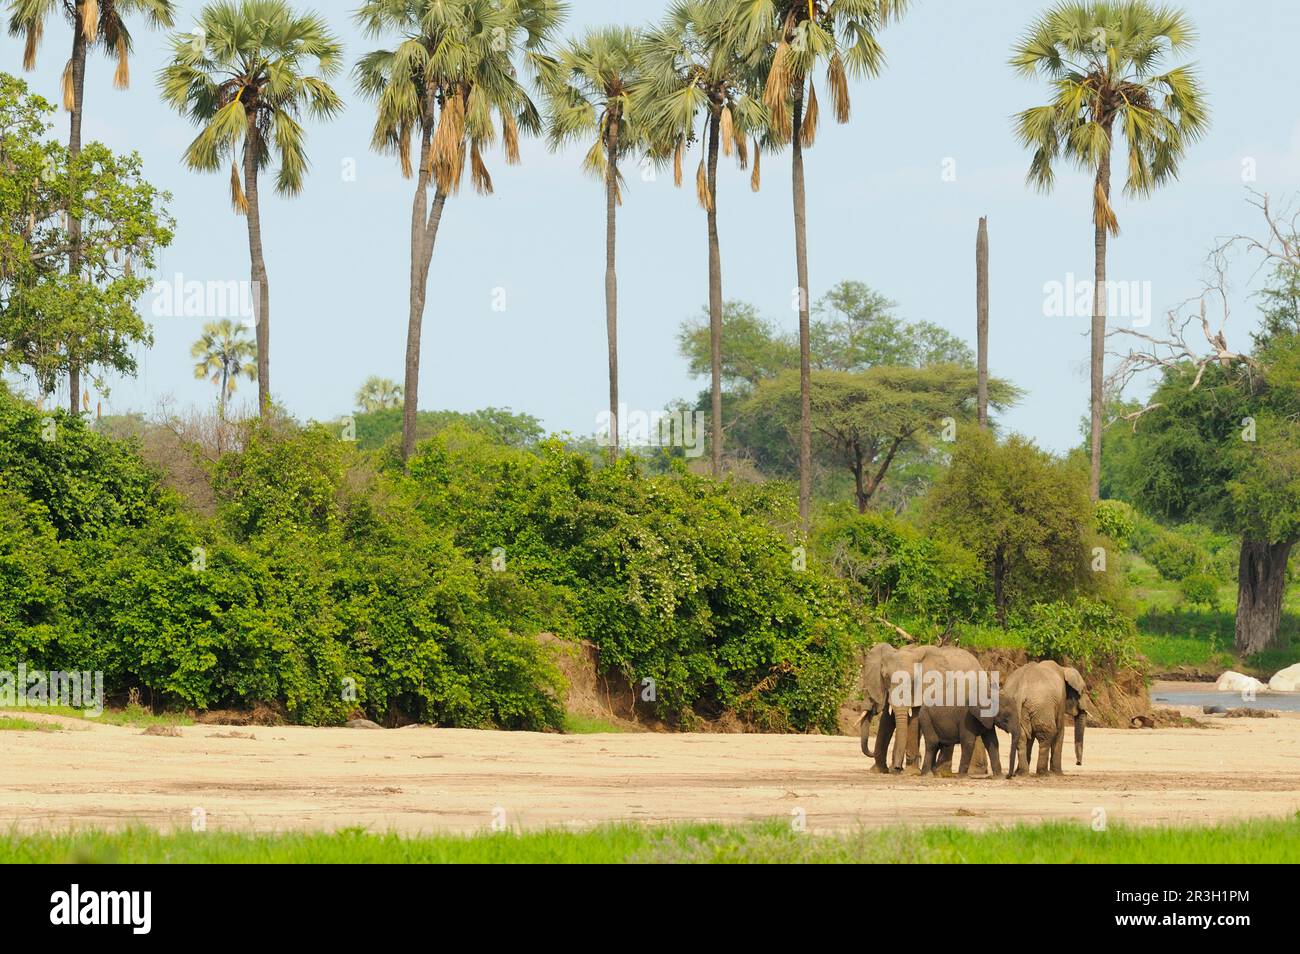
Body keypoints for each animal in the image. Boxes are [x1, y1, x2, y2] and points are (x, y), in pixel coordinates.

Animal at [858, 643, 1000, 776]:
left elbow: (914, 720)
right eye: (885, 677)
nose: (897, 768)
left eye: (913, 679)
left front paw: (910, 772)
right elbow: (887, 721)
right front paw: (879, 770)